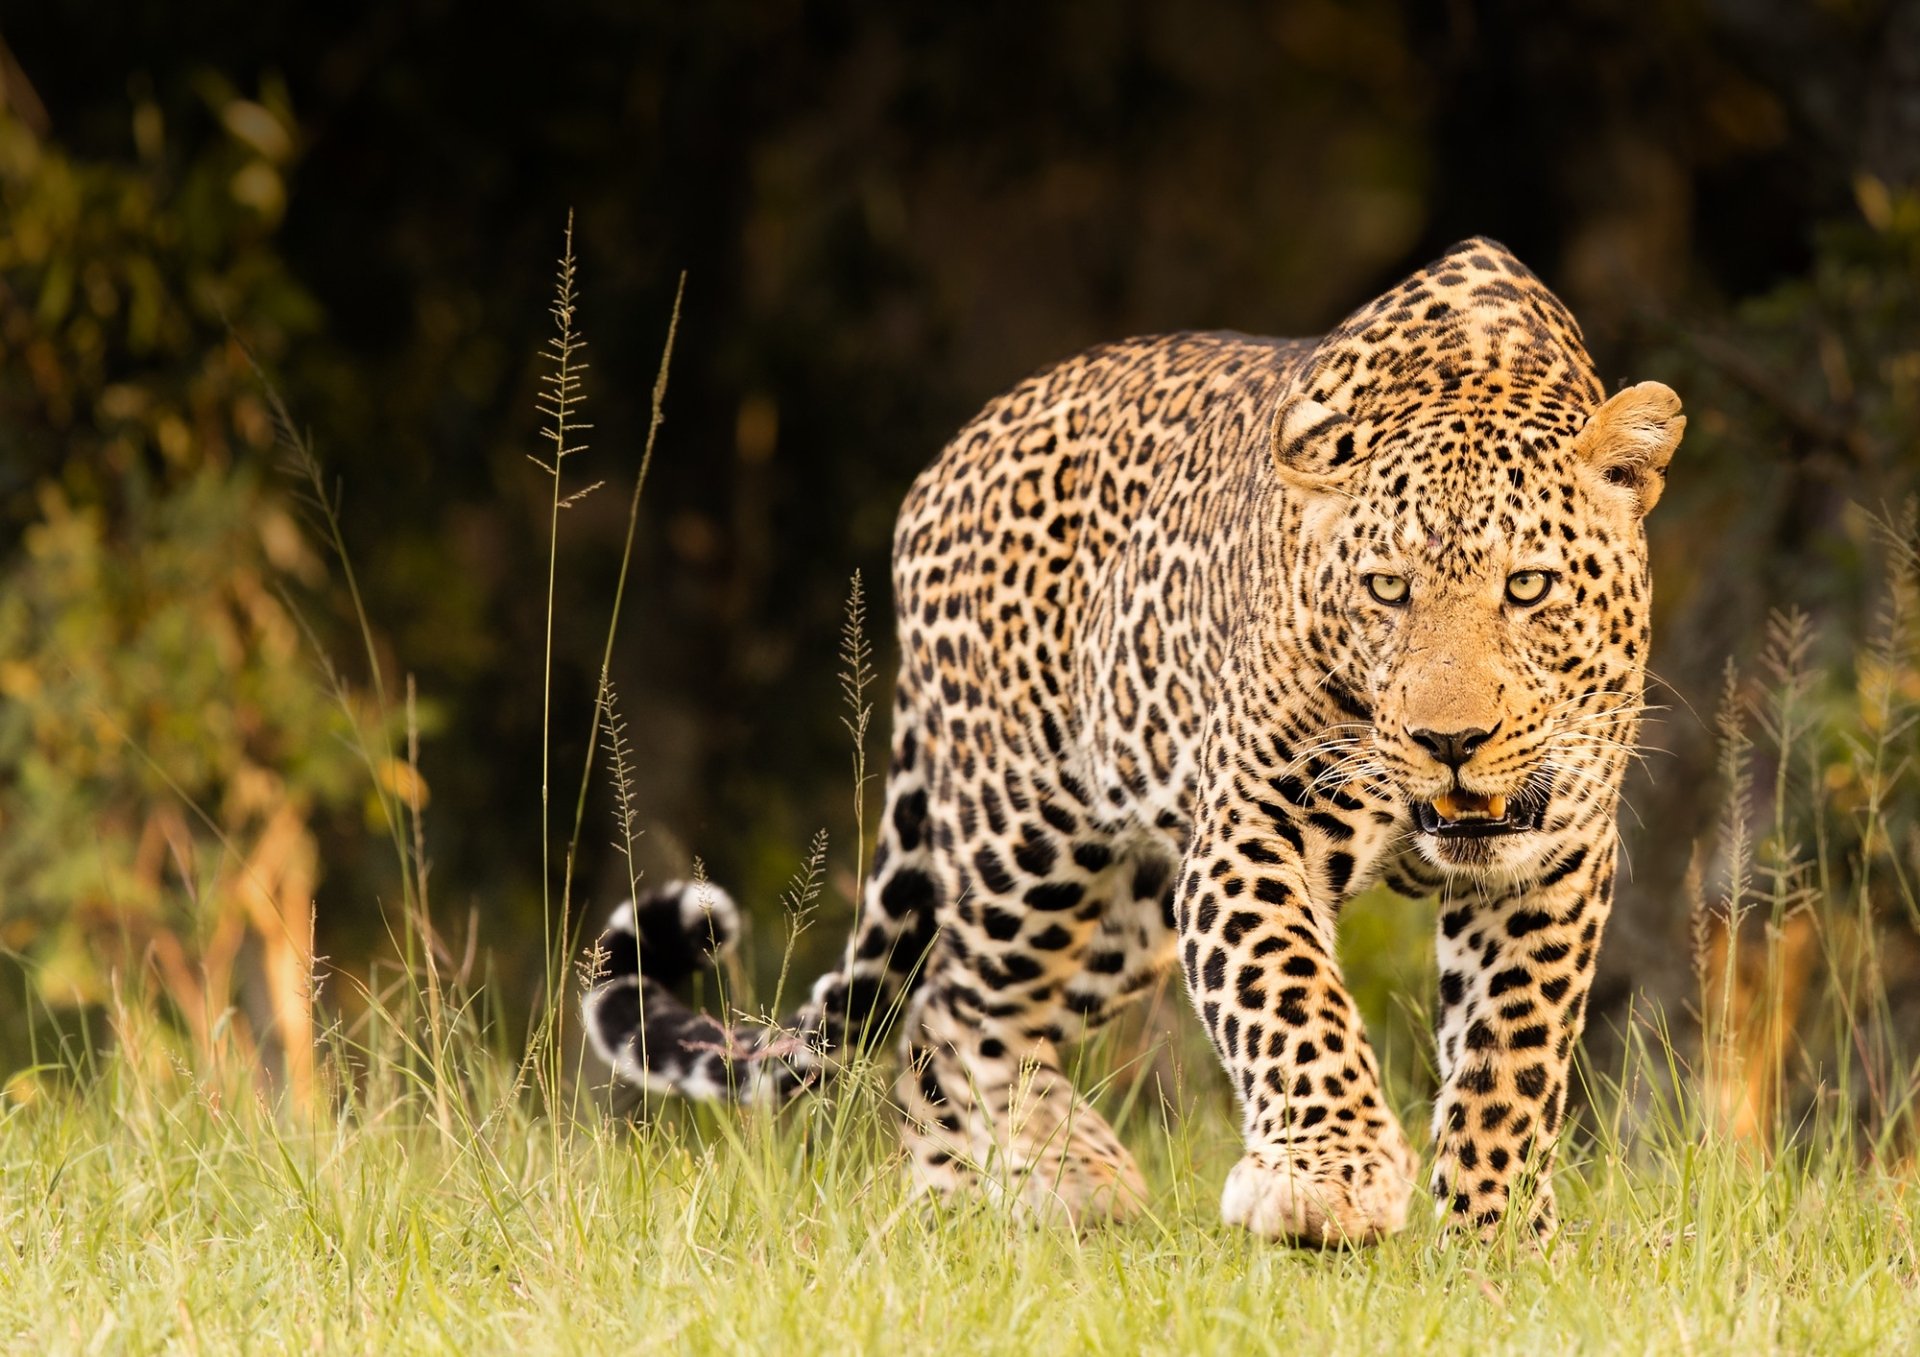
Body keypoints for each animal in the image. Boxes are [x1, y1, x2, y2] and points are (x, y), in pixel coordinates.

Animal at [582, 237, 1684, 1246]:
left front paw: (1495, 1239)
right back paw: (1011, 1194)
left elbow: (1513, 1055)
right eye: (1386, 589)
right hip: (1030, 844)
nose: (1448, 739)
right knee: (954, 1009)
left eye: (1528, 586)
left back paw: (1023, 1183)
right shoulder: (1256, 825)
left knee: (958, 1009)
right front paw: (1330, 1180)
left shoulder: (1553, 859)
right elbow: (1289, 993)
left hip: (1132, 906)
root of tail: (949, 458)